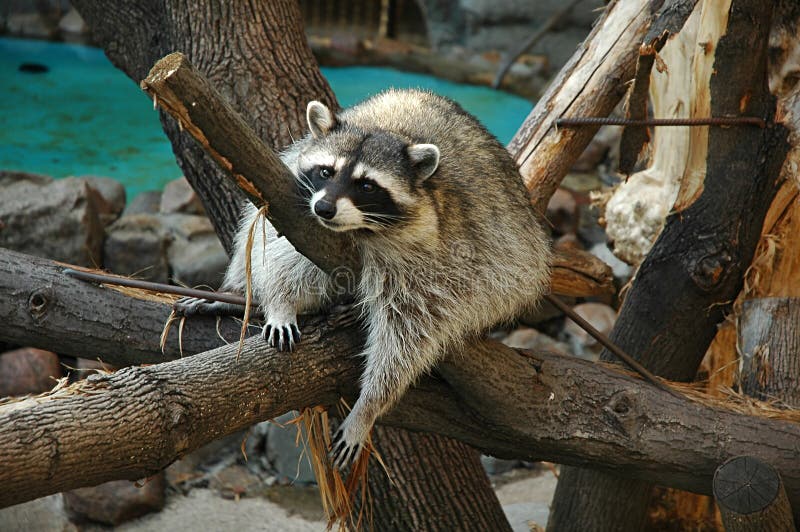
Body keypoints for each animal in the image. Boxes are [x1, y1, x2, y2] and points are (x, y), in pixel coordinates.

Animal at [179, 89, 551, 468]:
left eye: (367, 185)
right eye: (326, 171)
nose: (325, 208)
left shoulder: (442, 255)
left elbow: (408, 334)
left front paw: (369, 405)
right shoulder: (299, 213)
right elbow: (286, 253)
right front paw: (280, 302)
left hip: (513, 259)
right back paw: (241, 291)